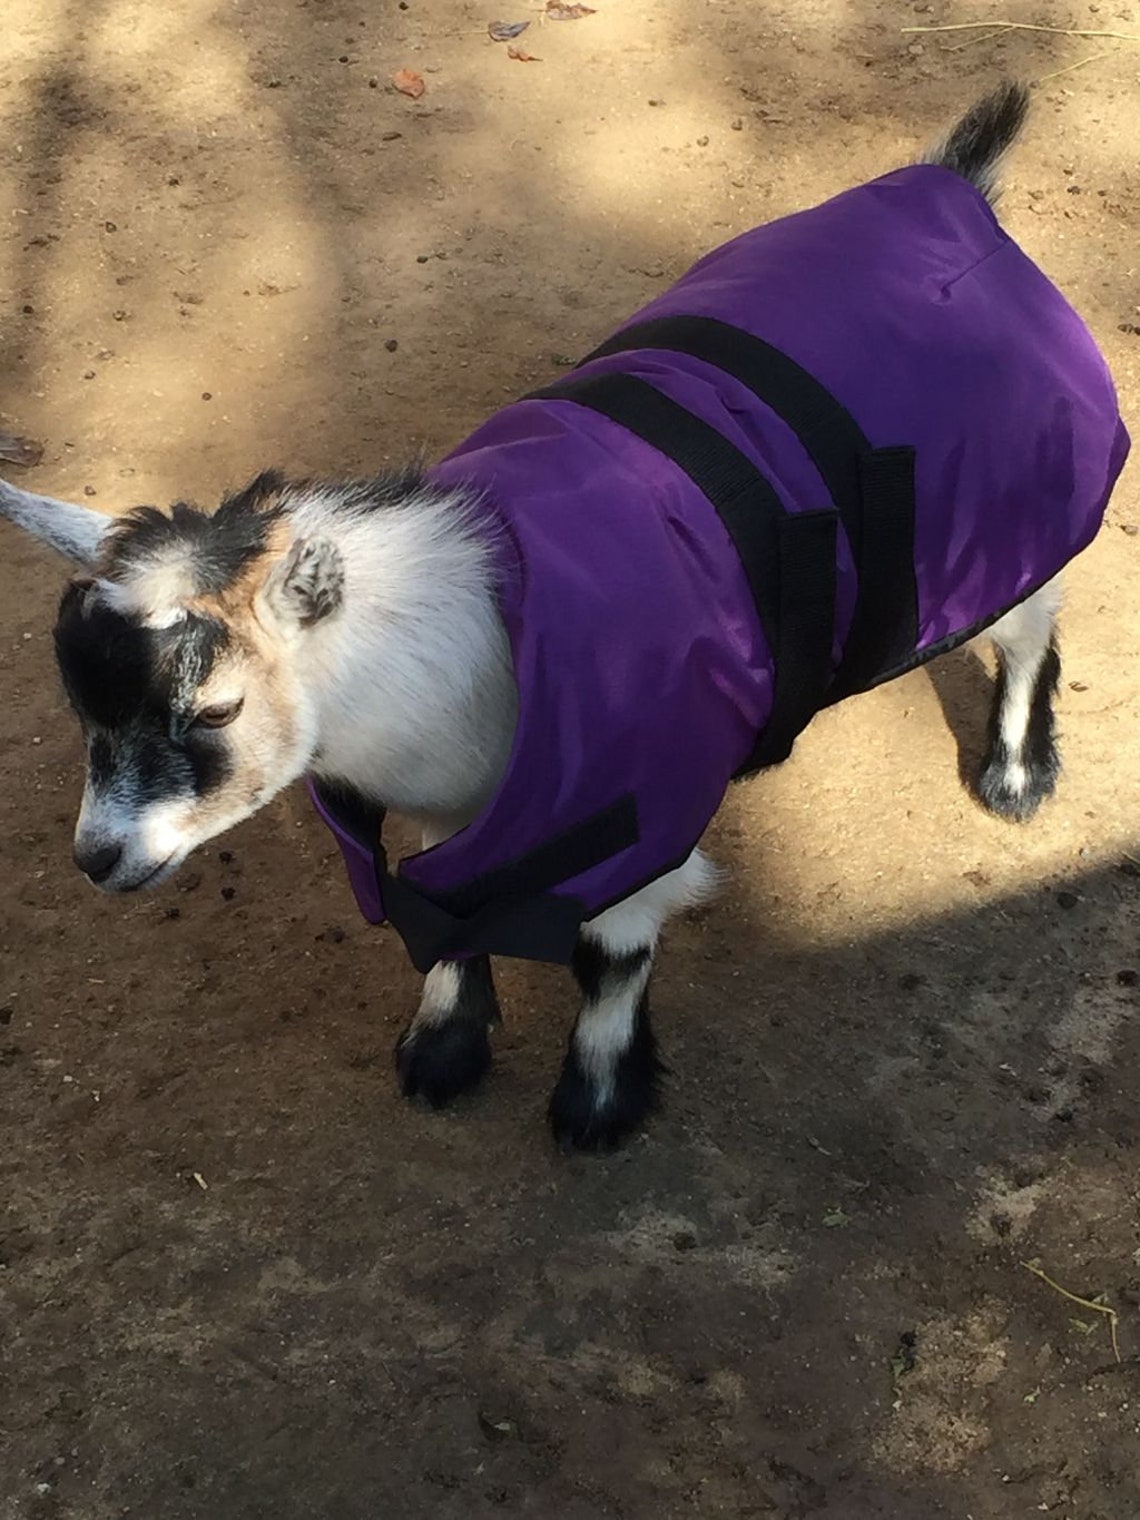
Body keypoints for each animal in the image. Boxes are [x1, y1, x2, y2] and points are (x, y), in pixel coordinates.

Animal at [0, 84, 1128, 1150]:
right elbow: (447, 912)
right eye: (83, 711)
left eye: (216, 708)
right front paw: (444, 1048)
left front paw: (597, 1101)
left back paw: (1018, 776)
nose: (98, 858)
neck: (488, 638)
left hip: (1002, 520)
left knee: (1032, 621)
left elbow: (610, 956)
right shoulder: (461, 799)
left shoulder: (640, 817)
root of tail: (956, 185)